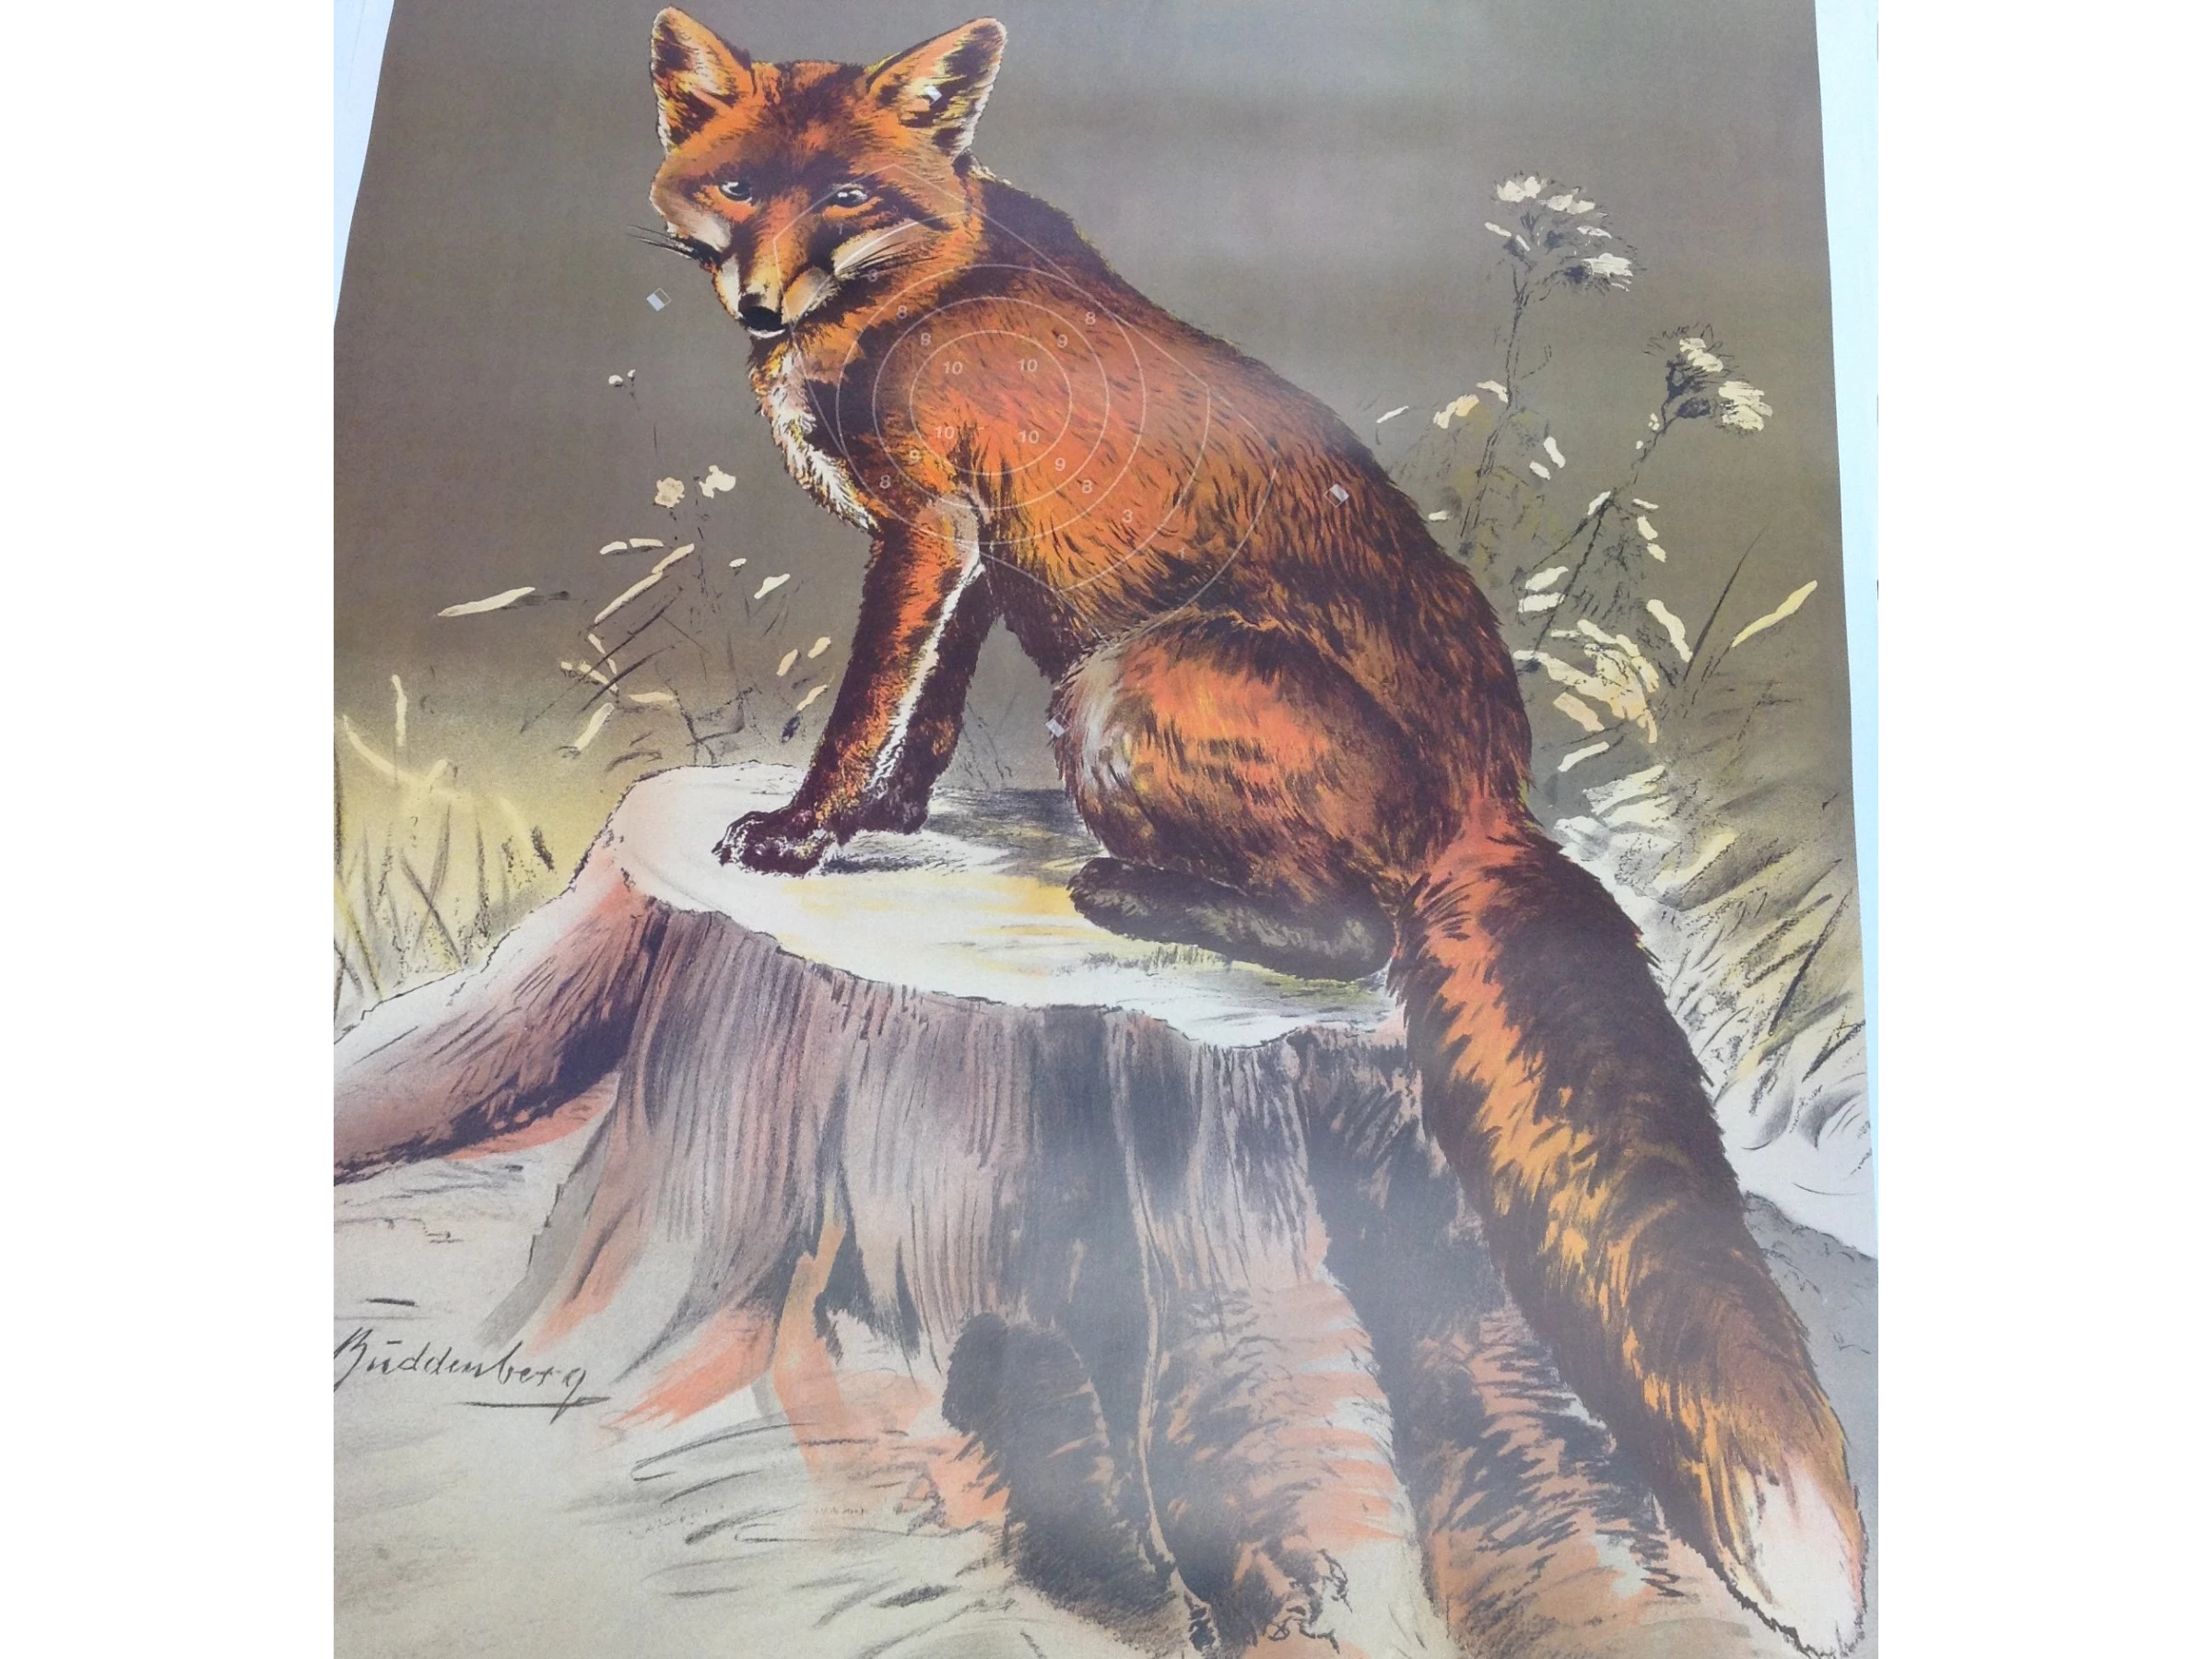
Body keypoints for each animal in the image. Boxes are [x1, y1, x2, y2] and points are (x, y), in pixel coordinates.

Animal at [643, 11, 1865, 1656]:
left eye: (845, 196)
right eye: (739, 187)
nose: (764, 301)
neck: (925, 278)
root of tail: (1496, 799)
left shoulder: (929, 527)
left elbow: (862, 709)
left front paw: (806, 830)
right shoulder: (971, 554)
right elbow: (931, 711)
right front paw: (899, 820)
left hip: (1113, 687)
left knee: (1356, 933)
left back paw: (1139, 895)